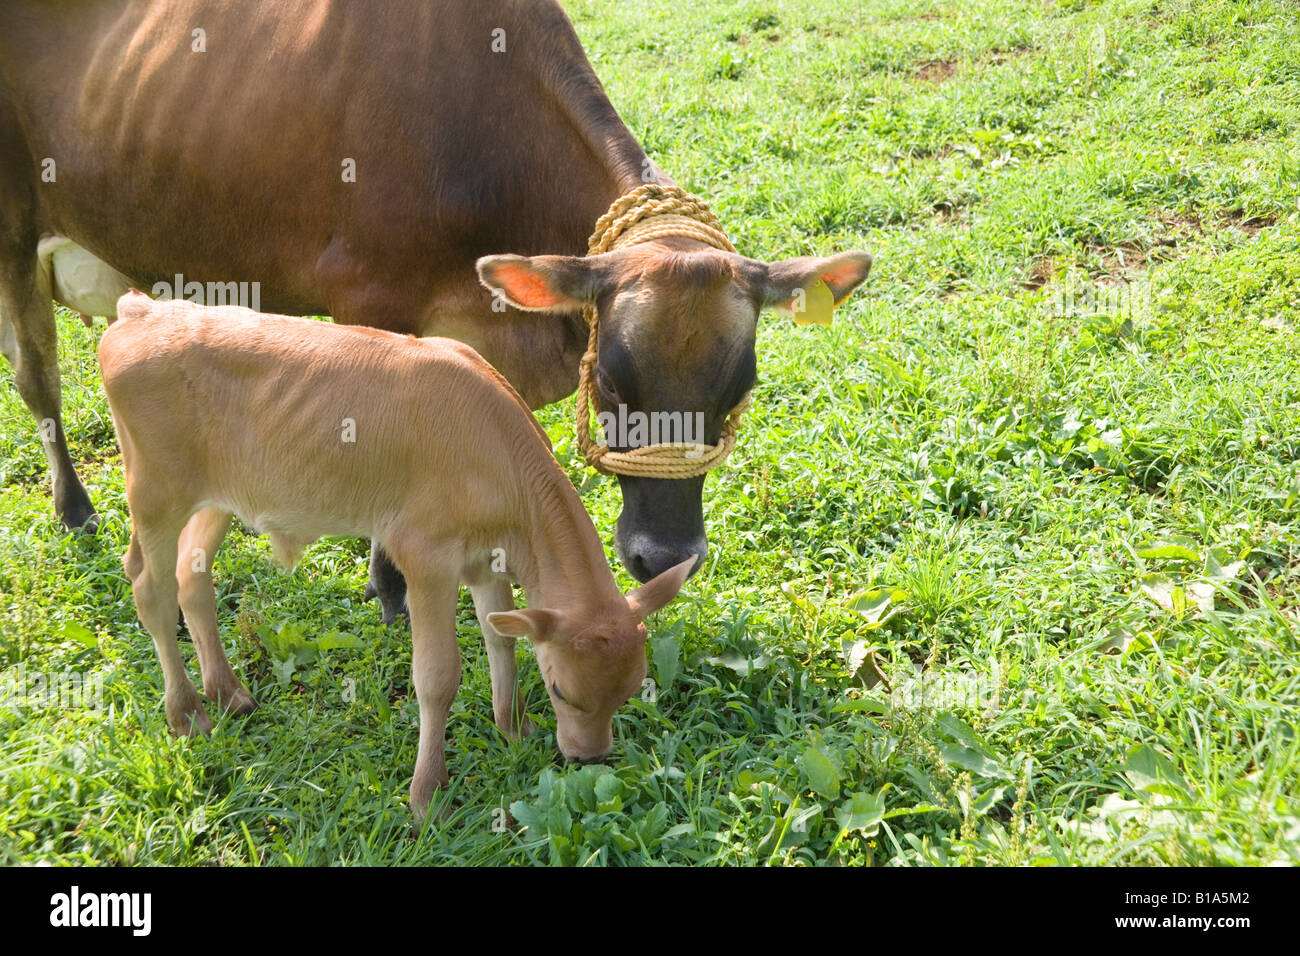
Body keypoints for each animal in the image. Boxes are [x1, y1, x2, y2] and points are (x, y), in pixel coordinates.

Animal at [0, 0, 873, 622]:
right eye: (613, 386)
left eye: (738, 392)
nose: (667, 561)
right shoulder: (367, 299)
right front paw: (389, 587)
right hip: (13, 234)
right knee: (39, 380)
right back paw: (75, 510)